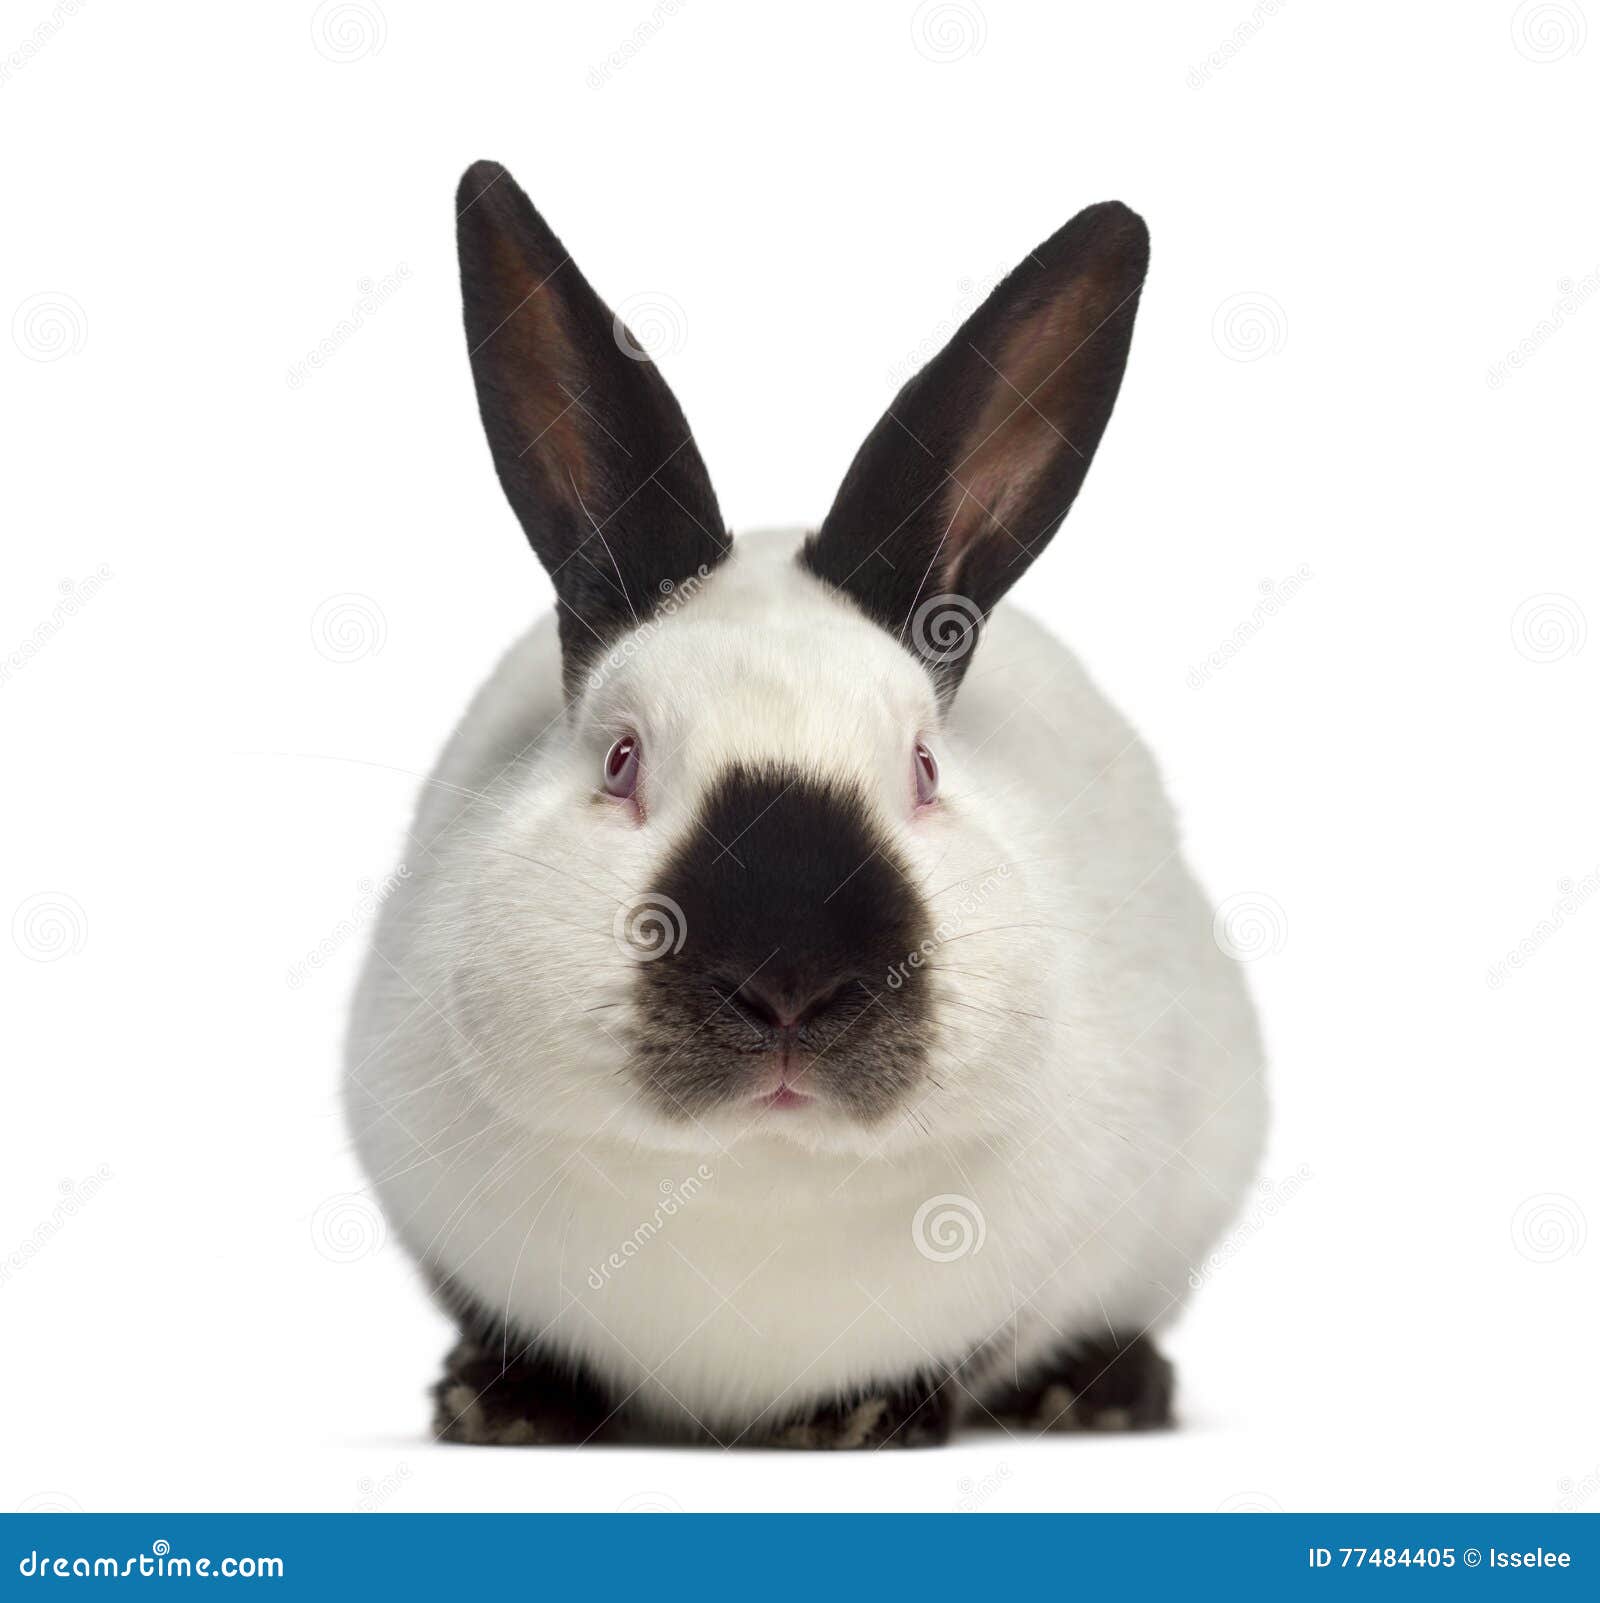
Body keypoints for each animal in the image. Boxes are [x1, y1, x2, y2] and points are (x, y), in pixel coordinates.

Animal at [343, 159, 1267, 1449]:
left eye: (923, 769)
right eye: (620, 759)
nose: (787, 981)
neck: (750, 1173)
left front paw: (861, 1415)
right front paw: (497, 1404)